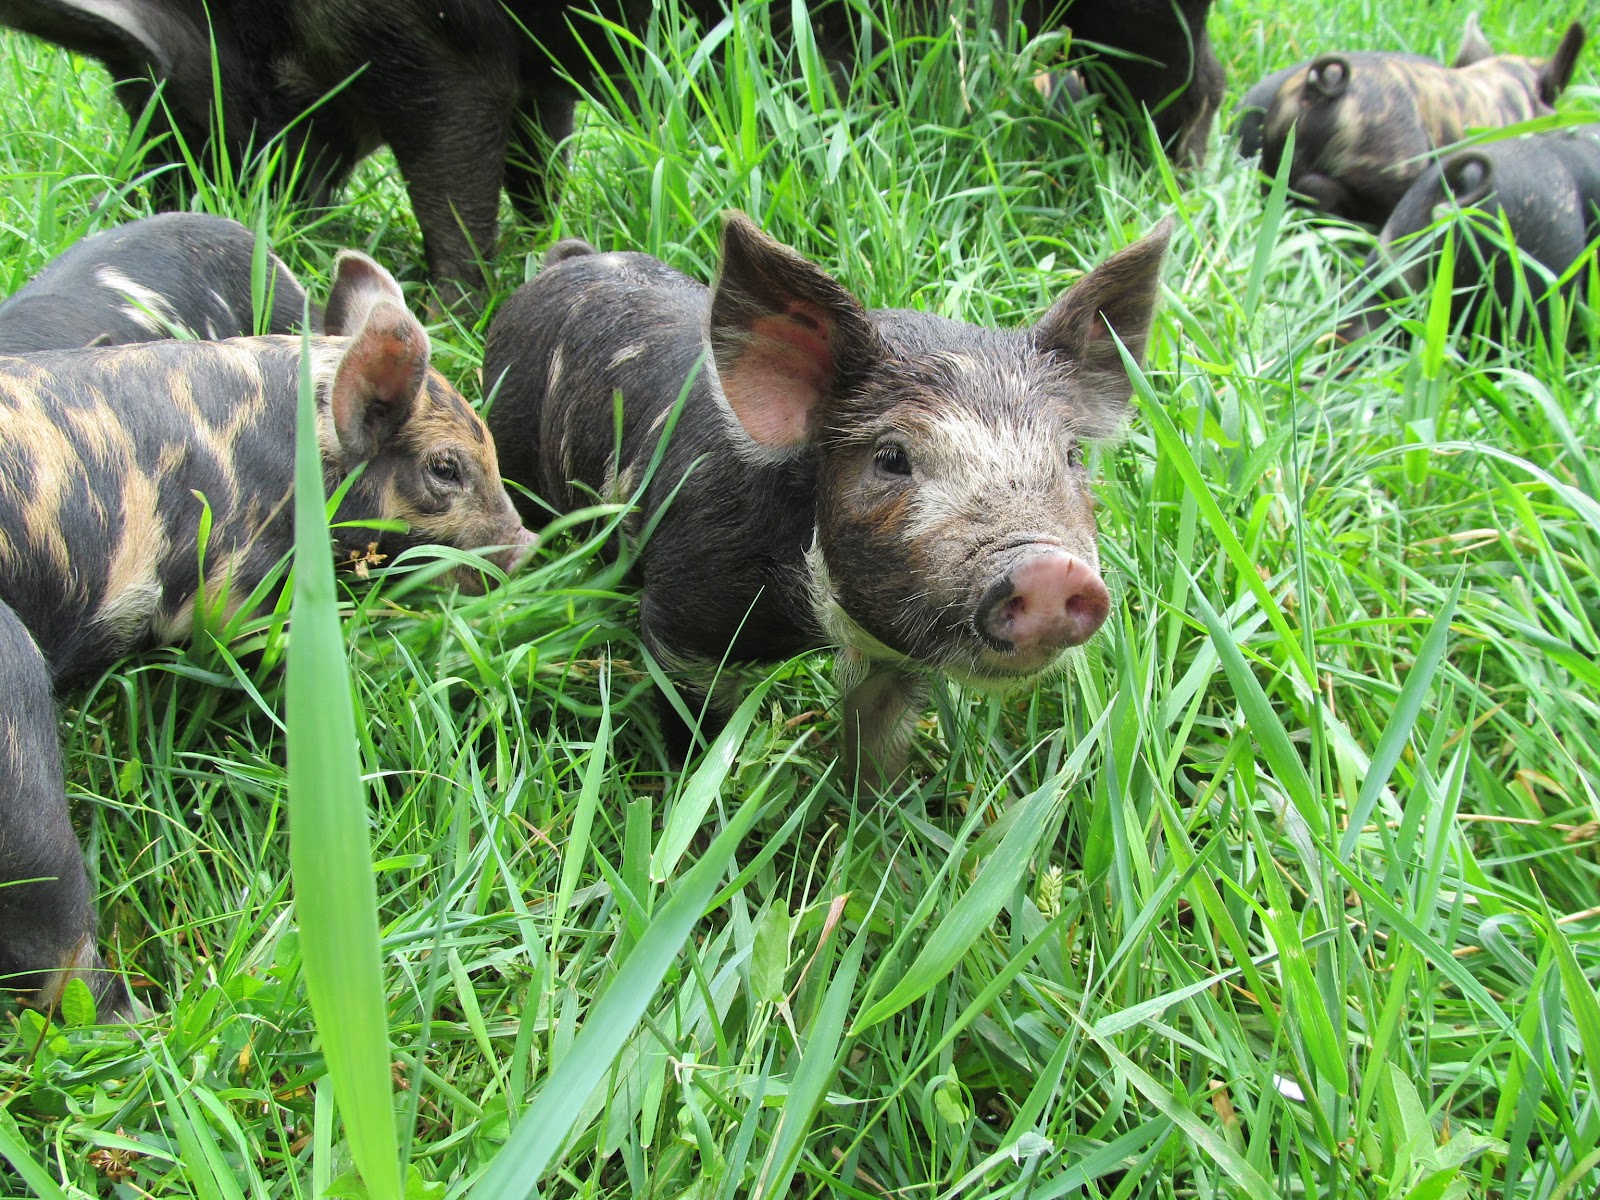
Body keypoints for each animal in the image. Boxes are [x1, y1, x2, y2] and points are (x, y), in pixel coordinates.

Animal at [483, 211, 1170, 789]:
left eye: (1072, 455)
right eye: (891, 457)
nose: (1051, 568)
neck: (820, 627)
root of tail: (567, 262)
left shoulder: (897, 661)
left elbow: (877, 735)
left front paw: (879, 813)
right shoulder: (684, 617)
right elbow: (695, 731)